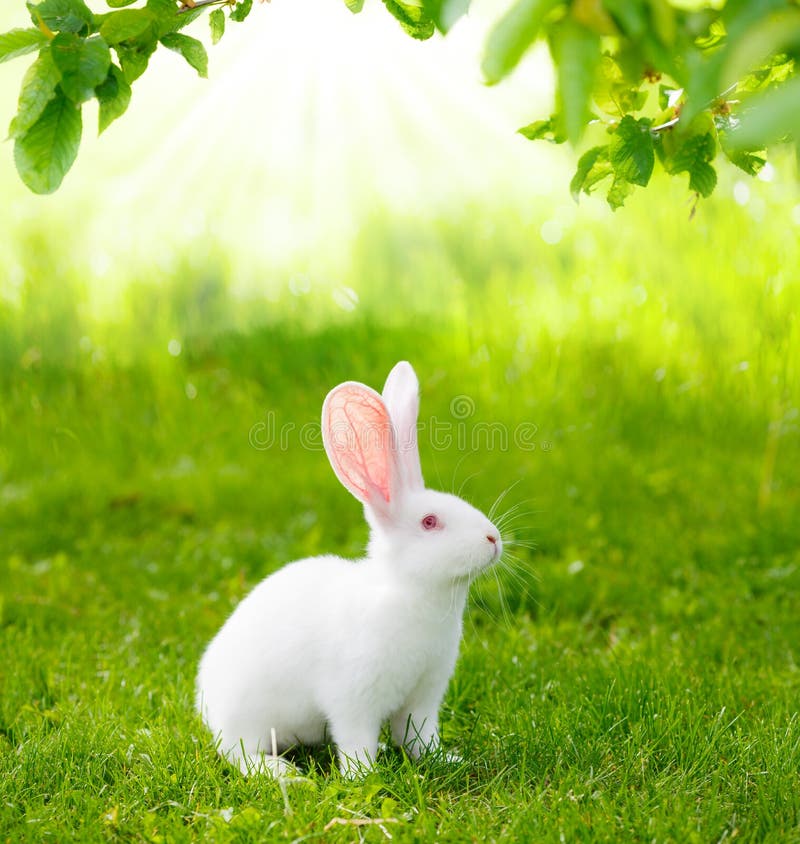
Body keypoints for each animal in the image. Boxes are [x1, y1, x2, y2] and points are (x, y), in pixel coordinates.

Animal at [195, 361, 503, 776]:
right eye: (429, 522)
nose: (493, 538)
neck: (411, 595)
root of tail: (206, 701)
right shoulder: (353, 700)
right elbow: (357, 742)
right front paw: (364, 776)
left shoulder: (423, 698)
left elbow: (418, 738)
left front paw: (445, 759)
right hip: (249, 721)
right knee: (237, 752)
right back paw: (286, 775)